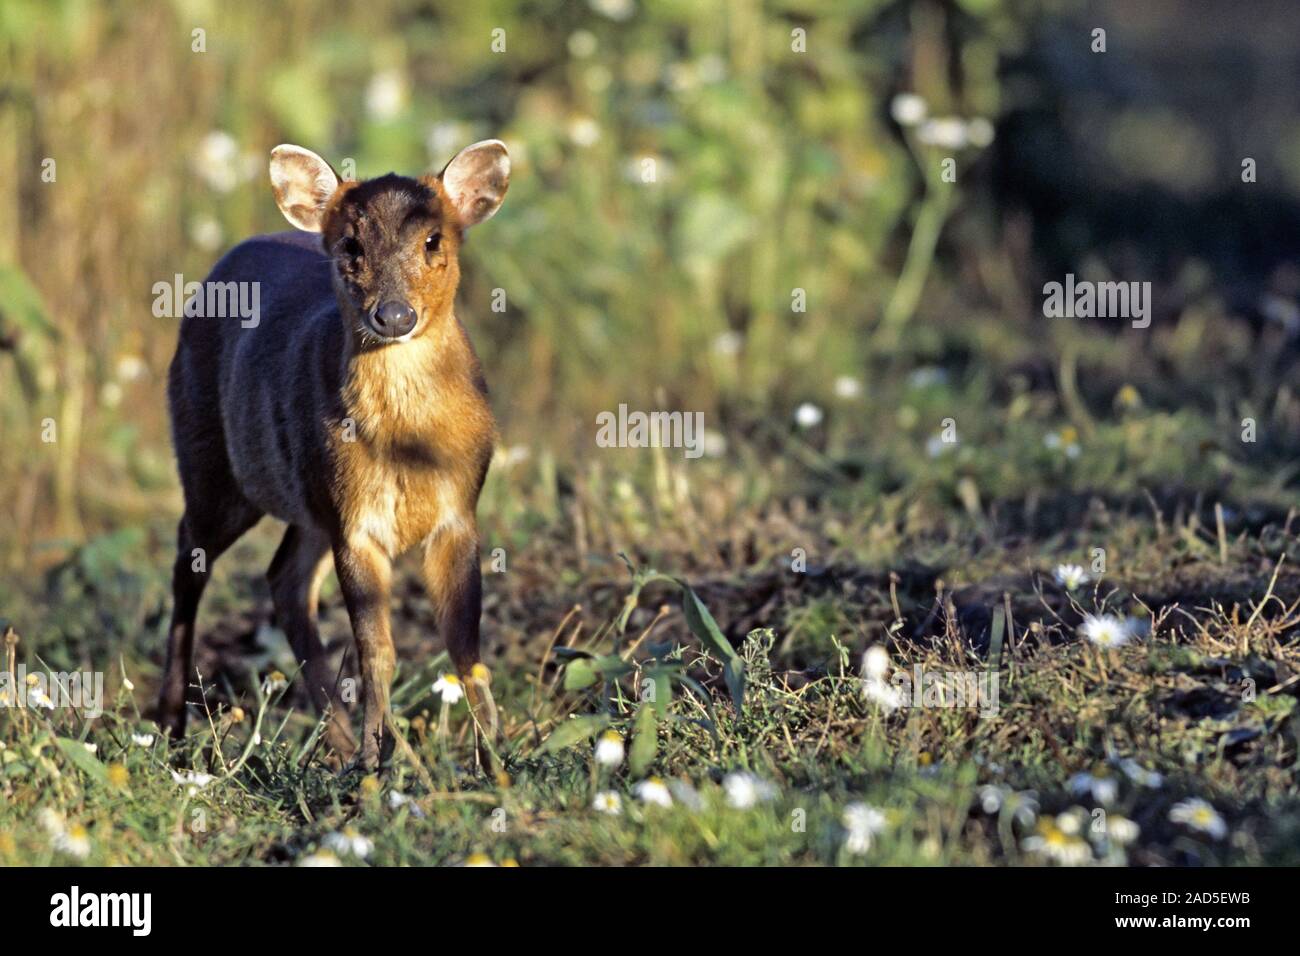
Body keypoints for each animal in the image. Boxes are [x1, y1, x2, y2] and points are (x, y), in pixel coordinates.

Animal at [156, 138, 510, 770]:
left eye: (433, 240)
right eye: (350, 243)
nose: (393, 314)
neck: (409, 447)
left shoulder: (458, 513)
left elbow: (465, 645)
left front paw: (494, 757)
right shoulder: (355, 524)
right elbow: (378, 651)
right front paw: (383, 759)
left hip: (309, 501)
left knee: (284, 578)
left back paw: (337, 743)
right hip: (212, 462)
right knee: (189, 556)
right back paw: (172, 723)